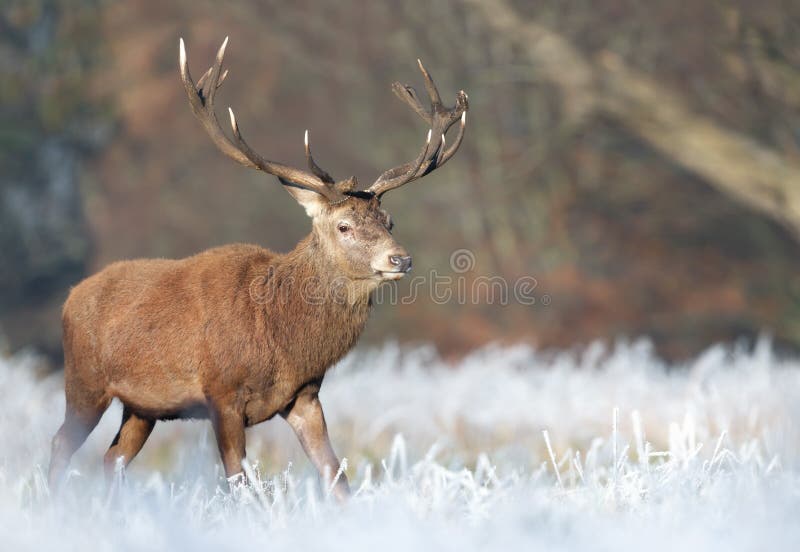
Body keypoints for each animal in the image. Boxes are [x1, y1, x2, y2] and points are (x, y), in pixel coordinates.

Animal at [47, 37, 467, 501]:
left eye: (389, 221)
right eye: (344, 225)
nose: (401, 259)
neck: (281, 340)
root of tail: (70, 297)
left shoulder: (304, 396)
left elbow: (336, 476)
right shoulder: (222, 394)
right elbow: (238, 482)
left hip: (142, 407)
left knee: (112, 459)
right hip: (84, 382)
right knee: (60, 443)